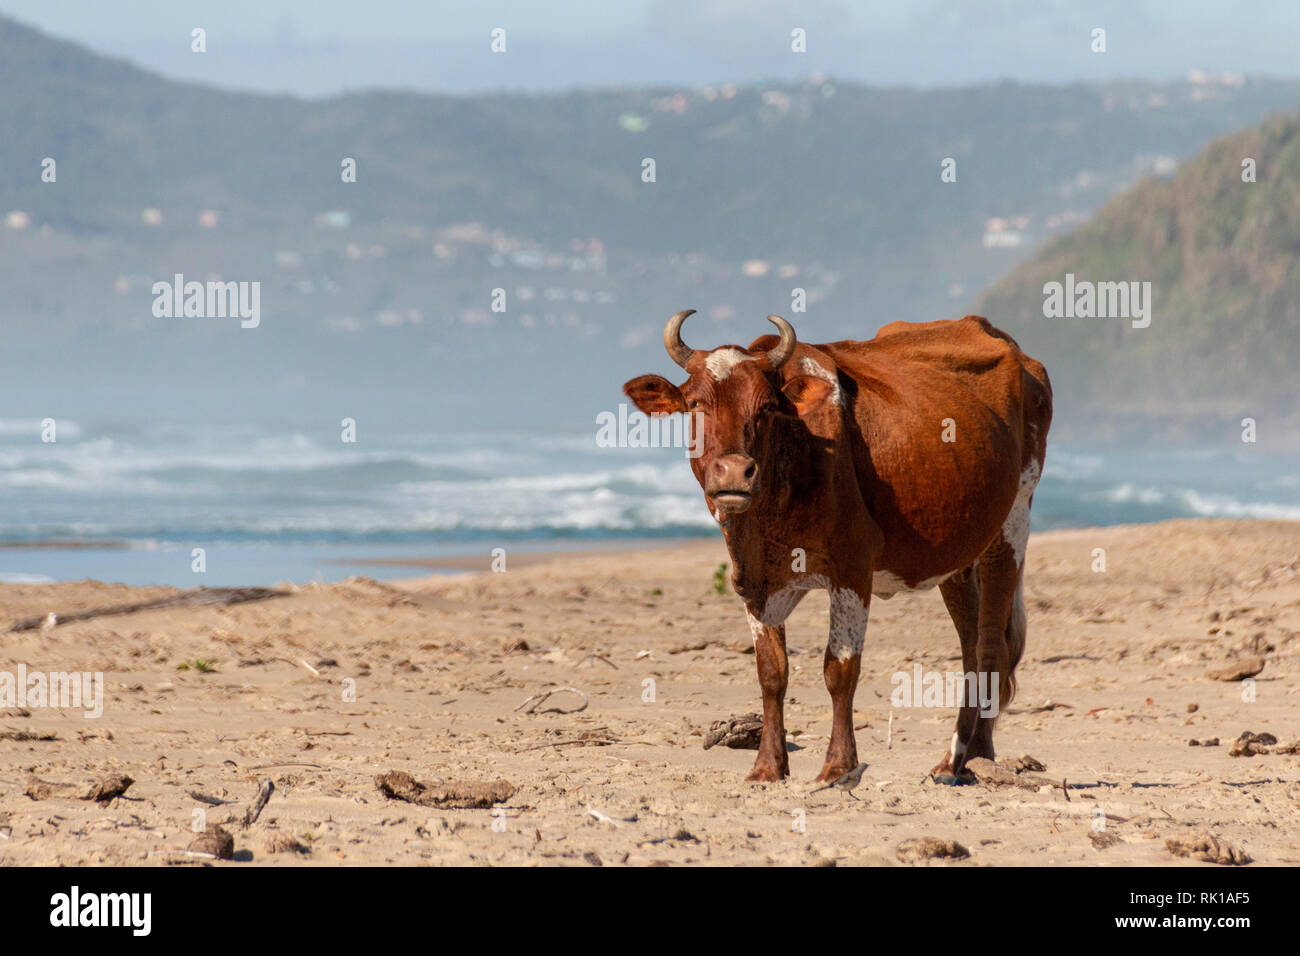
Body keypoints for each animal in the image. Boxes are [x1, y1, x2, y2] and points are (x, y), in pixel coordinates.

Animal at [623, 310, 1052, 784]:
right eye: (696, 403)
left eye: (767, 407)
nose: (735, 472)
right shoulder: (751, 579)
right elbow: (771, 672)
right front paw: (767, 766)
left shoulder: (852, 568)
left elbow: (839, 669)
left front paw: (838, 765)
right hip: (957, 557)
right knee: (972, 647)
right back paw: (971, 754)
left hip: (1012, 526)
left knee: (991, 645)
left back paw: (962, 757)